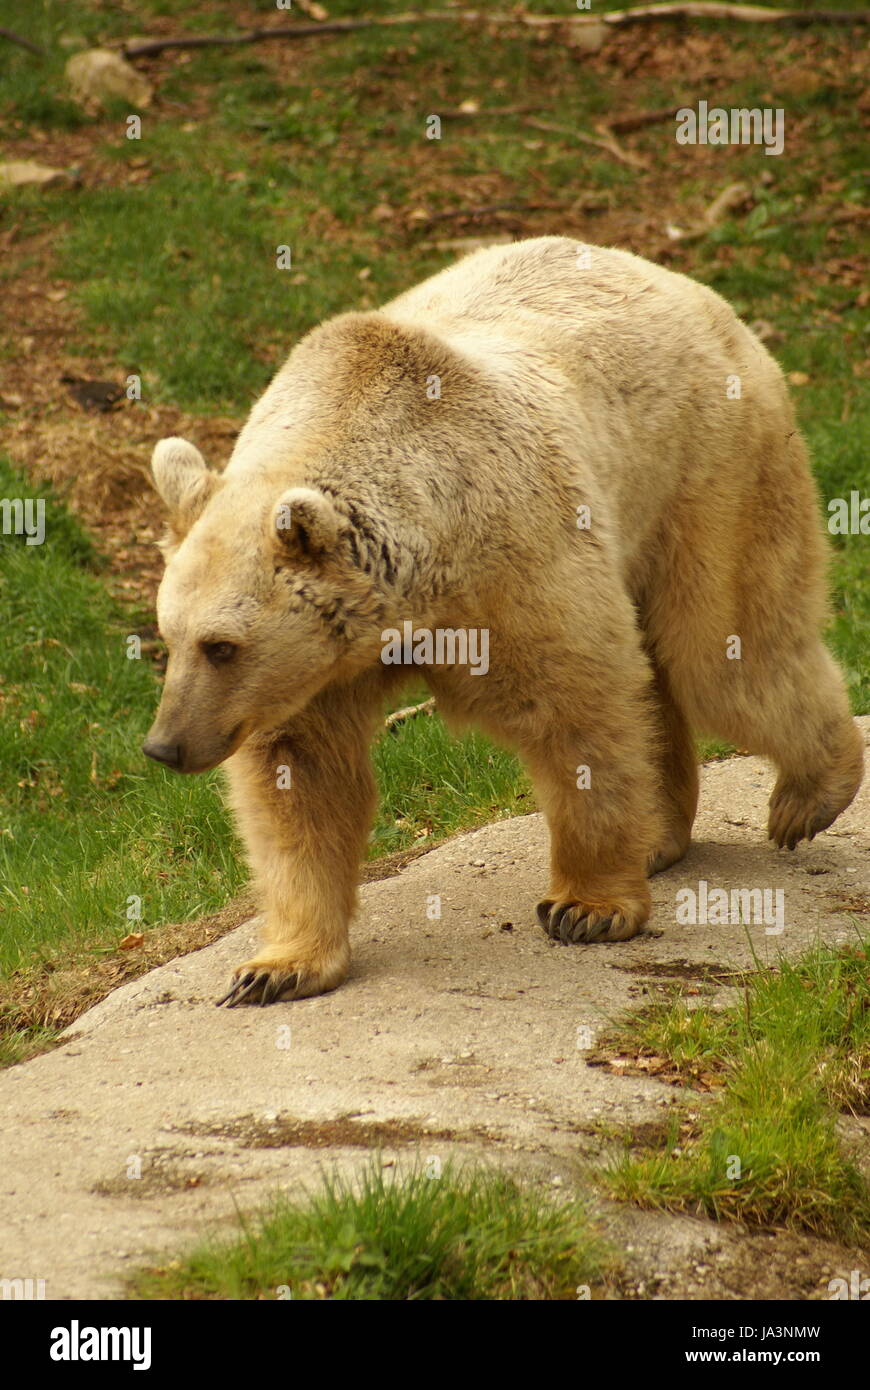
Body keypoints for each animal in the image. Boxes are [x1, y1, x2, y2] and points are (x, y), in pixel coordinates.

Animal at [143, 236, 864, 1006]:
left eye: (222, 646)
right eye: (169, 639)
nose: (164, 746)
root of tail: (682, 282)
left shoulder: (515, 566)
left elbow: (578, 709)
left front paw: (586, 906)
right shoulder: (320, 672)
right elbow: (301, 779)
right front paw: (275, 967)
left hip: (706, 467)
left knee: (726, 656)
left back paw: (807, 798)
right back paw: (662, 834)